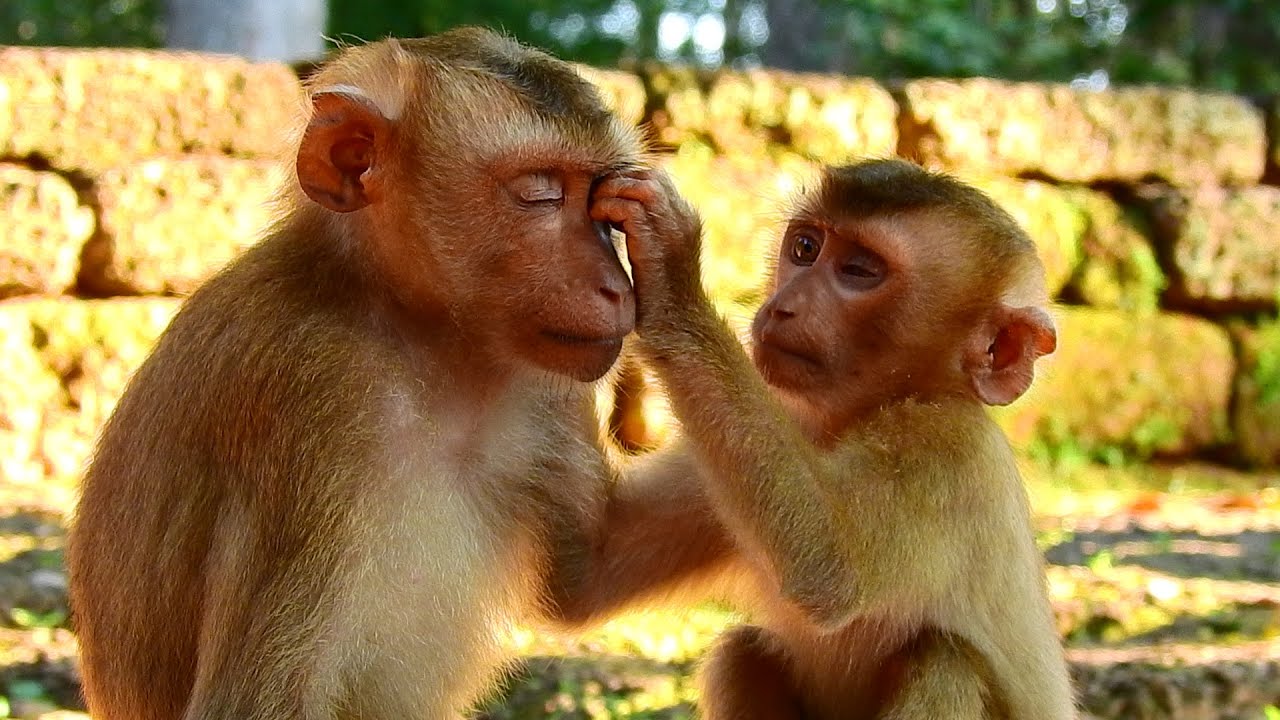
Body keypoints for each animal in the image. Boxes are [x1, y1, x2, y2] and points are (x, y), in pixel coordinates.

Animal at [67, 29, 739, 720]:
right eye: (540, 192)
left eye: (604, 206)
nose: (613, 287)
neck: (421, 337)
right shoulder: (314, 390)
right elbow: (252, 705)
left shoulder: (545, 387)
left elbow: (593, 568)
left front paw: (674, 272)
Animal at [589, 158, 1076, 719]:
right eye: (805, 248)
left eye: (860, 271)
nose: (785, 306)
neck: (856, 416)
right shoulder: (744, 437)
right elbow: (582, 568)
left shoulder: (949, 447)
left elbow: (833, 565)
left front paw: (670, 275)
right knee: (743, 654)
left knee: (943, 660)